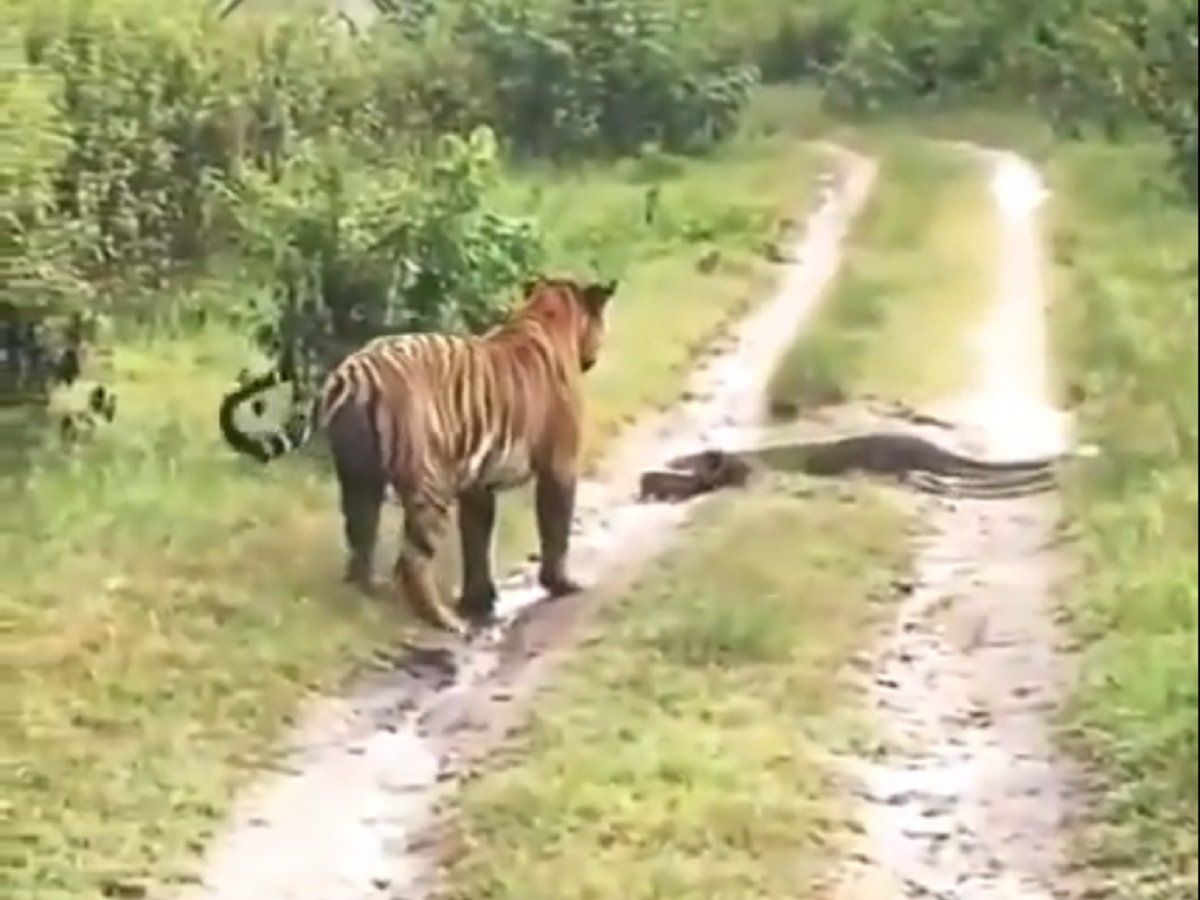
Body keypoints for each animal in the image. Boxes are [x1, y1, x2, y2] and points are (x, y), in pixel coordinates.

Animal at [218, 275, 619, 636]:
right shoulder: (559, 466)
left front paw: (478, 600)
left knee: (360, 538)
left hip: (359, 476)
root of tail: (352, 372)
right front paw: (561, 584)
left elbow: (476, 540)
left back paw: (368, 591)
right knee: (410, 562)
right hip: (430, 485)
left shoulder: (477, 483)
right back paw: (443, 621)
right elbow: (555, 529)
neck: (544, 316)